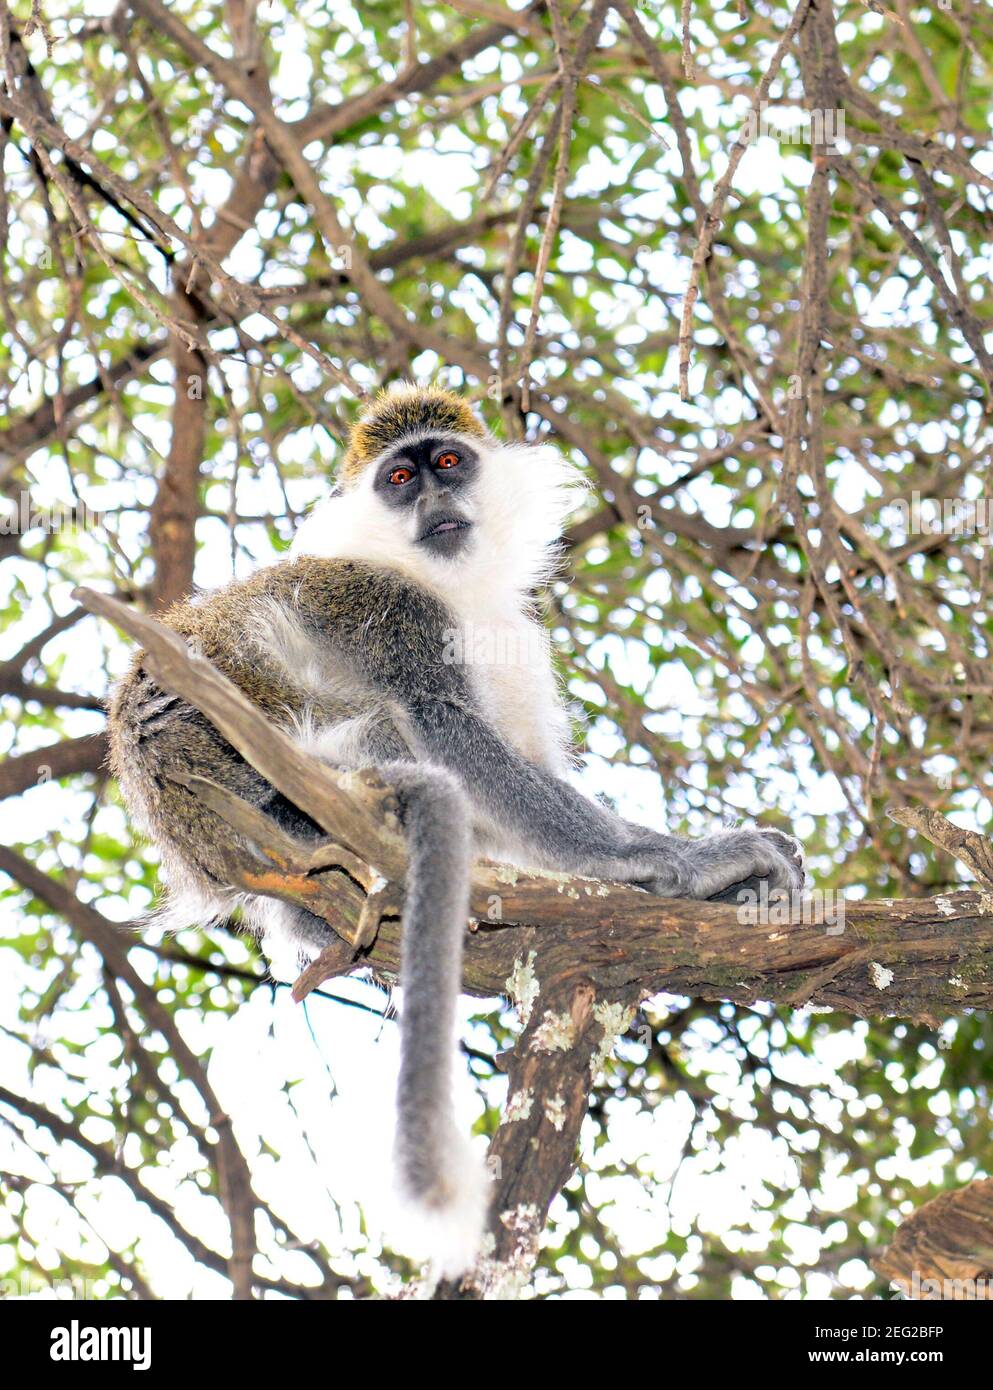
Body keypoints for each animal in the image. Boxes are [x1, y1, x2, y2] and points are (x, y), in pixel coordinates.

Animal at [107, 384, 805, 1279]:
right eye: (399, 478)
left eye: (447, 462)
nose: (432, 501)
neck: (447, 585)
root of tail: (183, 815)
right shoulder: (387, 611)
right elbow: (453, 732)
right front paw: (677, 860)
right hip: (292, 762)